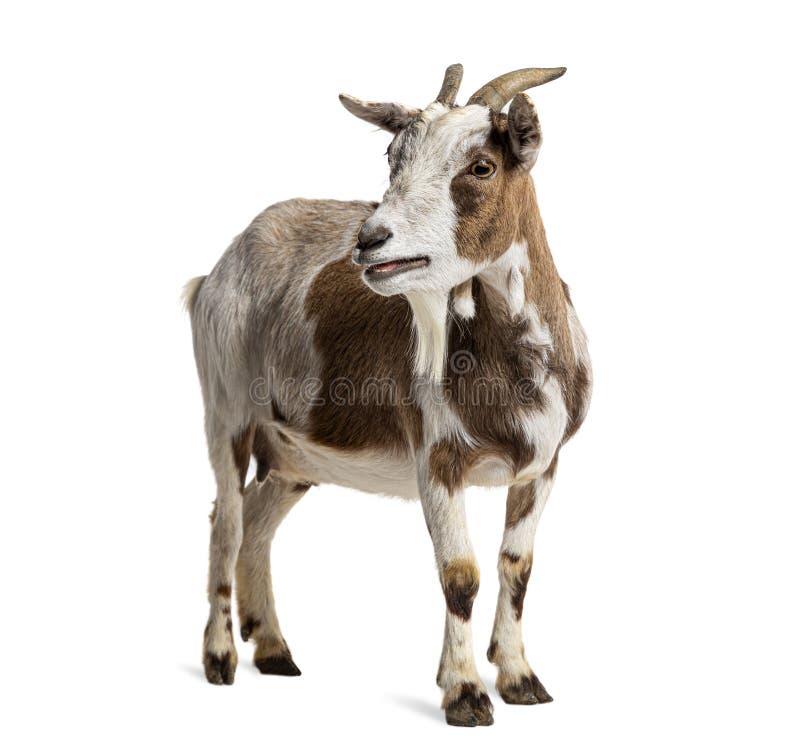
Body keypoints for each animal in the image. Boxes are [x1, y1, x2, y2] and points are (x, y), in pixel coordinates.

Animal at [185, 64, 592, 727]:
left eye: (482, 165)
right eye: (393, 156)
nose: (371, 240)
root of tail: (214, 275)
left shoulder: (545, 464)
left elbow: (517, 568)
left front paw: (520, 679)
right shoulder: (436, 455)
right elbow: (460, 574)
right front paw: (466, 695)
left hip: (295, 454)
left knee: (258, 521)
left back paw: (273, 649)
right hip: (226, 408)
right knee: (227, 518)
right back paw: (220, 659)